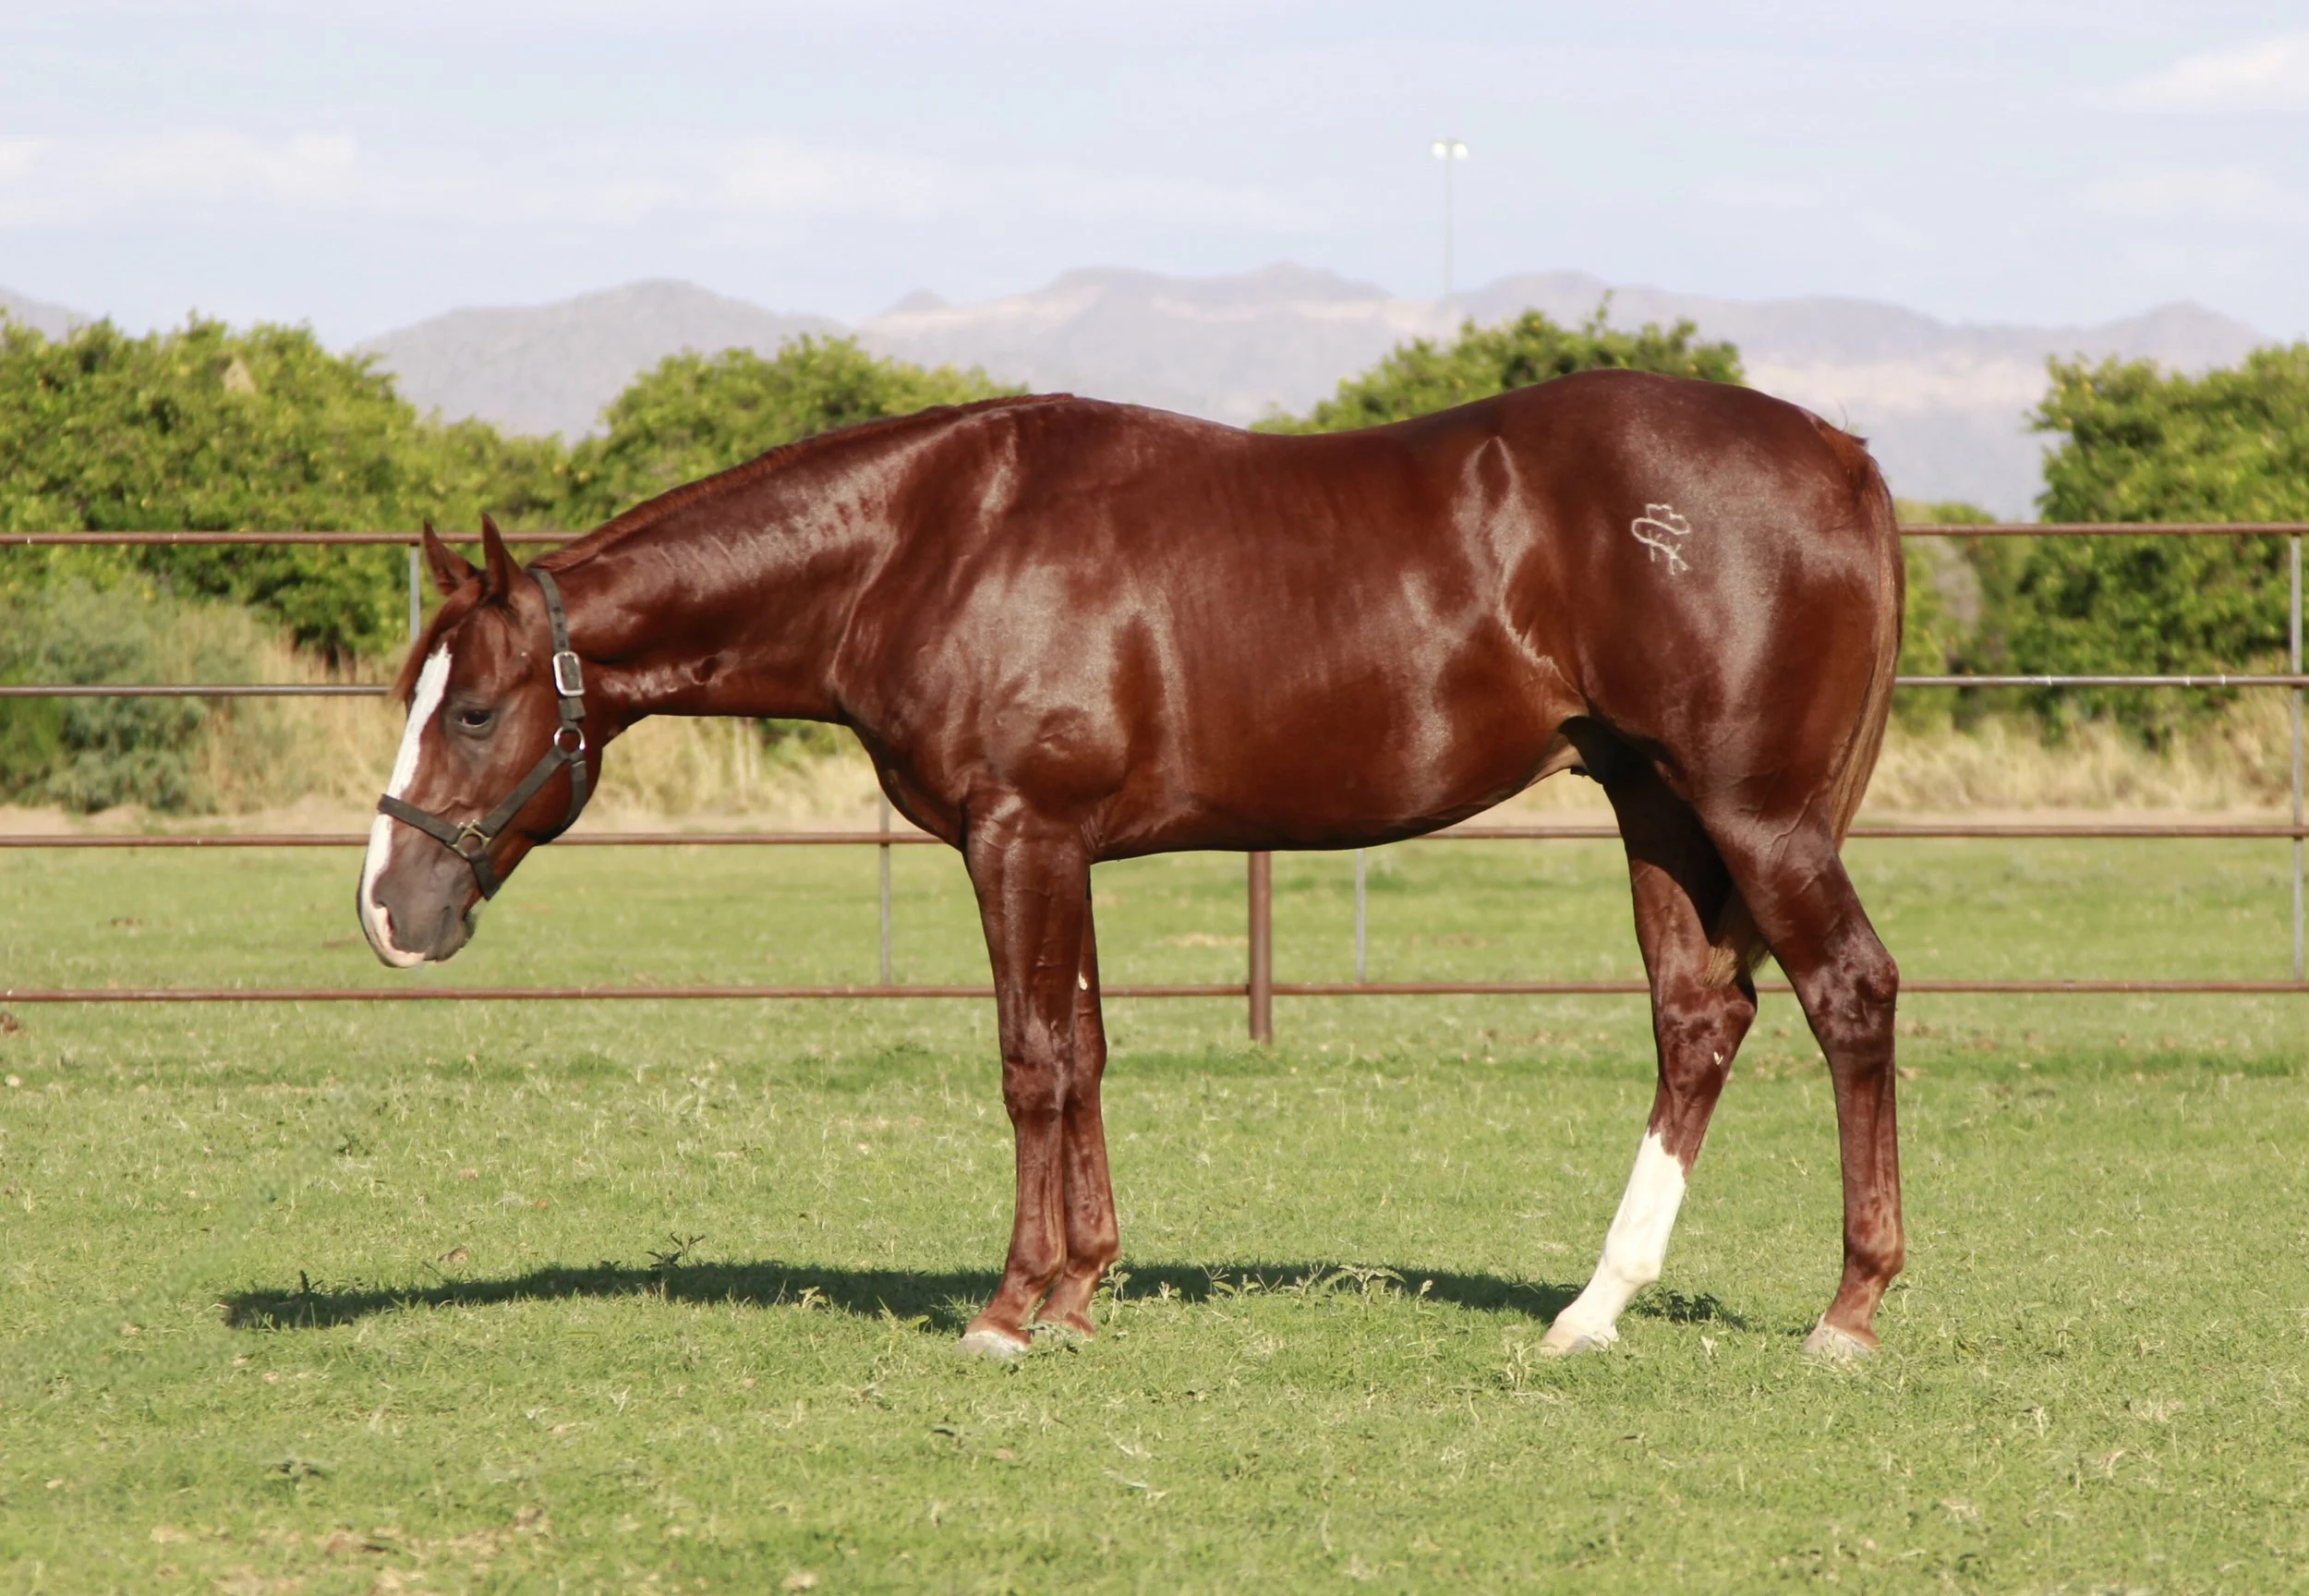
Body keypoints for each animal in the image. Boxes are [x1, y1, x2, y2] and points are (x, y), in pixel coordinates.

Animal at [357, 369, 1906, 1361]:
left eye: (475, 709)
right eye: (408, 695)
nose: (388, 911)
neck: (922, 542)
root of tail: (1841, 451)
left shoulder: (1018, 835)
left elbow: (1031, 1060)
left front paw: (1007, 1312)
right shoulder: (1065, 848)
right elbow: (1088, 1048)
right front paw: (1082, 1293)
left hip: (1753, 813)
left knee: (1850, 996)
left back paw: (1847, 1314)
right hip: (1658, 809)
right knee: (1698, 1020)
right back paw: (1594, 1312)